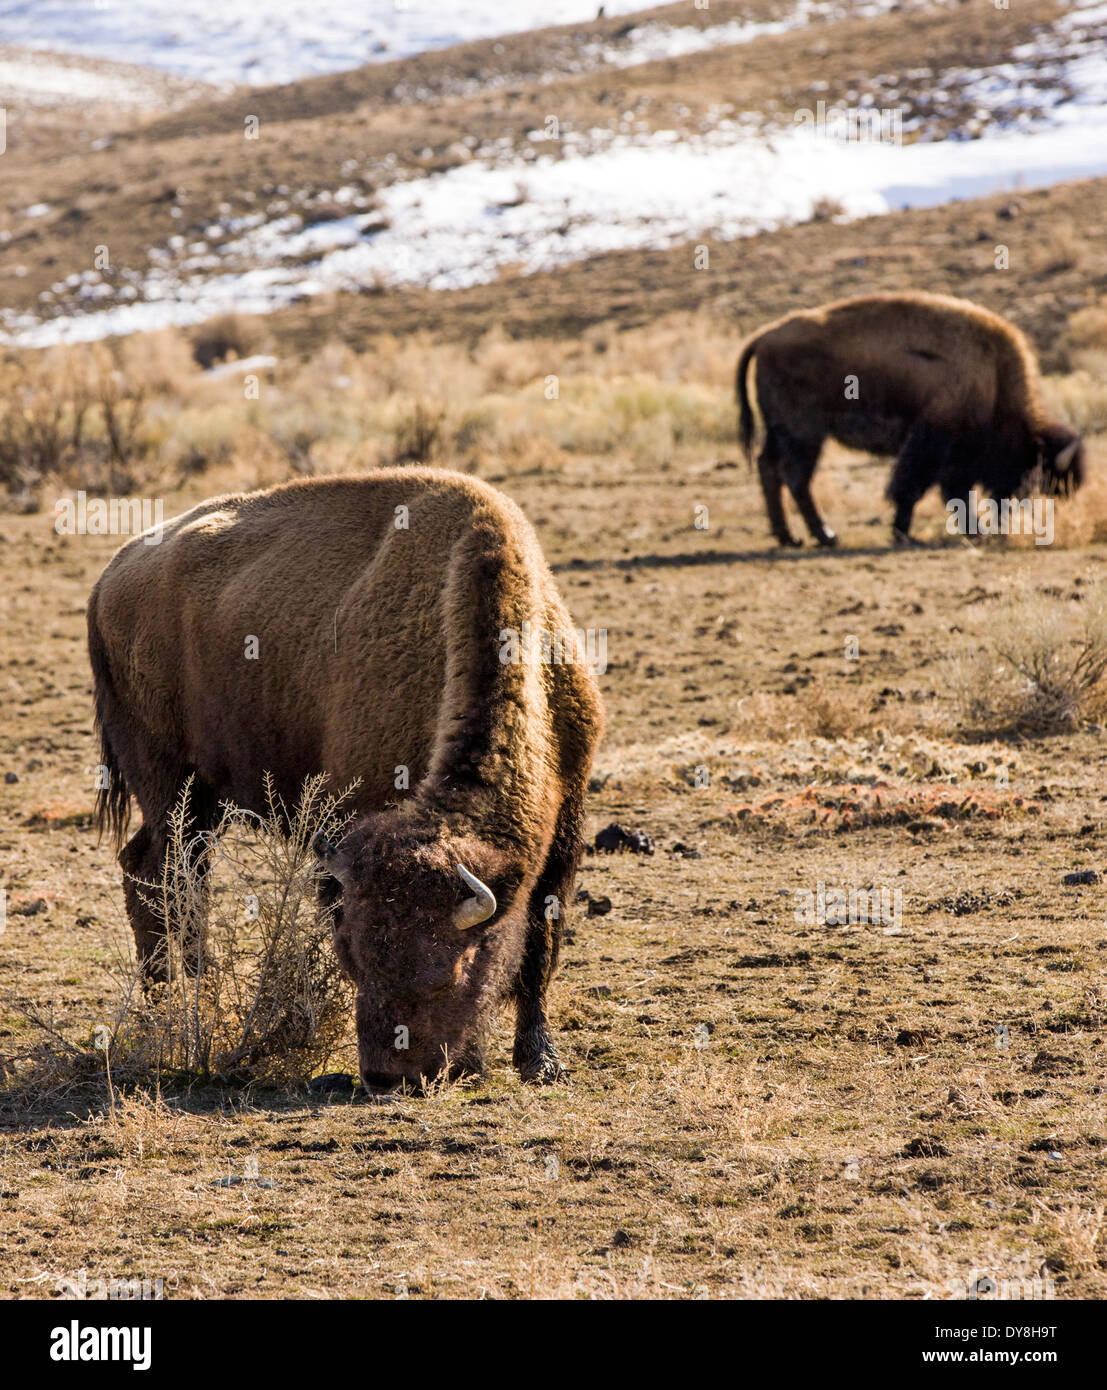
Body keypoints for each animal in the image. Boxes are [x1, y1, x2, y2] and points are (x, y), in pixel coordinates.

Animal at [88, 469, 604, 1089]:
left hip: (199, 799)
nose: (388, 1077)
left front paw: (541, 1061)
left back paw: (181, 992)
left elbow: (539, 949)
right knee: (163, 874)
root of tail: (110, 578)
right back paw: (178, 997)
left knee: (164, 870)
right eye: (354, 959)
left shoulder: (564, 828)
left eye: (449, 973)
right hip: (167, 784)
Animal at [736, 291, 1084, 547]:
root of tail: (765, 337)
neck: (992, 377)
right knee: (796, 477)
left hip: (782, 432)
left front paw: (973, 531)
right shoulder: (932, 441)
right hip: (804, 433)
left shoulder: (957, 455)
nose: (1008, 514)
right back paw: (825, 536)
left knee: (770, 468)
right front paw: (904, 533)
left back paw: (790, 537)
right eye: (1034, 473)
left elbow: (955, 491)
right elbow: (913, 487)